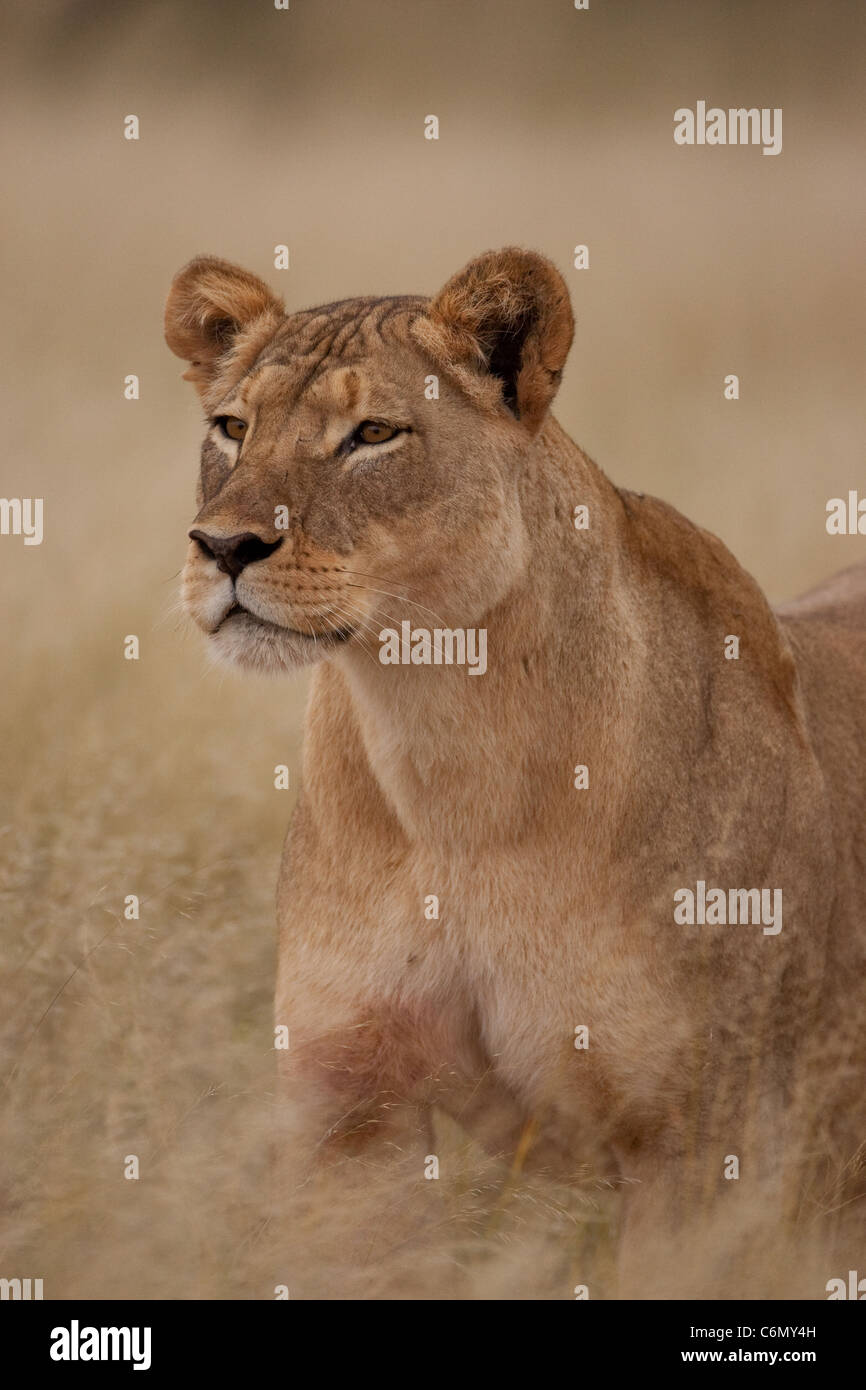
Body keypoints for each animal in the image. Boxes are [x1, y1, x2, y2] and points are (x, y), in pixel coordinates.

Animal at [165, 247, 866, 1296]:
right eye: (232, 427)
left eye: (374, 434)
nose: (224, 547)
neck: (448, 762)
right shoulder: (350, 1109)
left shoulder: (701, 1145)